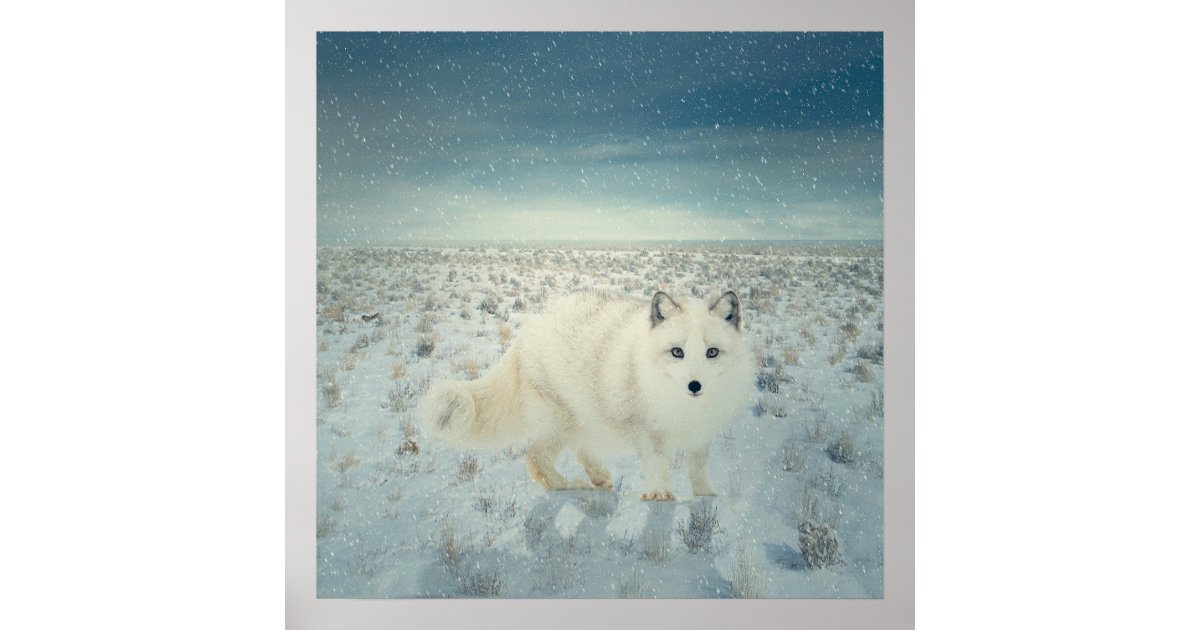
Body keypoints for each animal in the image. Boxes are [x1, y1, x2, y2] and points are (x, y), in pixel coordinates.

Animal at [418, 290, 755, 501]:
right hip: (561, 421)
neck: (683, 407)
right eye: (677, 352)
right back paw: (568, 486)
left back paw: (600, 477)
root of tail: (528, 330)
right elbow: (657, 464)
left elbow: (698, 468)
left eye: (712, 352)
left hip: (583, 417)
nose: (694, 385)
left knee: (578, 449)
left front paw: (706, 494)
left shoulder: (701, 433)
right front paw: (659, 494)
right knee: (534, 457)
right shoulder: (646, 430)